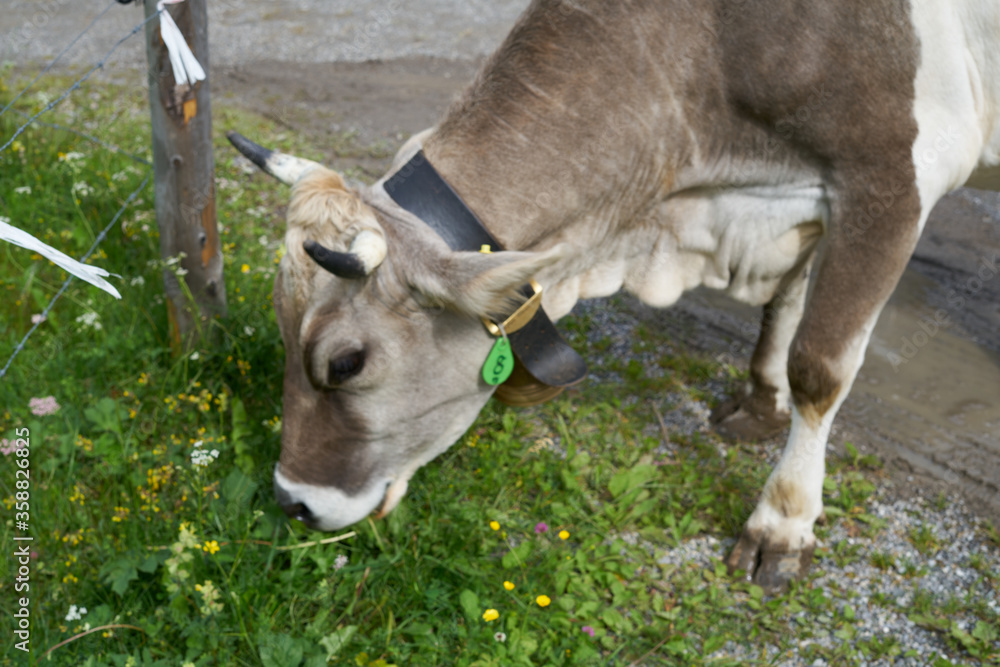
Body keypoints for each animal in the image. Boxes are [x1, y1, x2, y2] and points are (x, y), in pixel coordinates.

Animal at [228, 0, 1000, 592]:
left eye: (345, 363)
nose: (292, 500)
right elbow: (786, 300)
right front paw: (760, 402)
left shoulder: (891, 177)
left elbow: (821, 365)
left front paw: (782, 522)